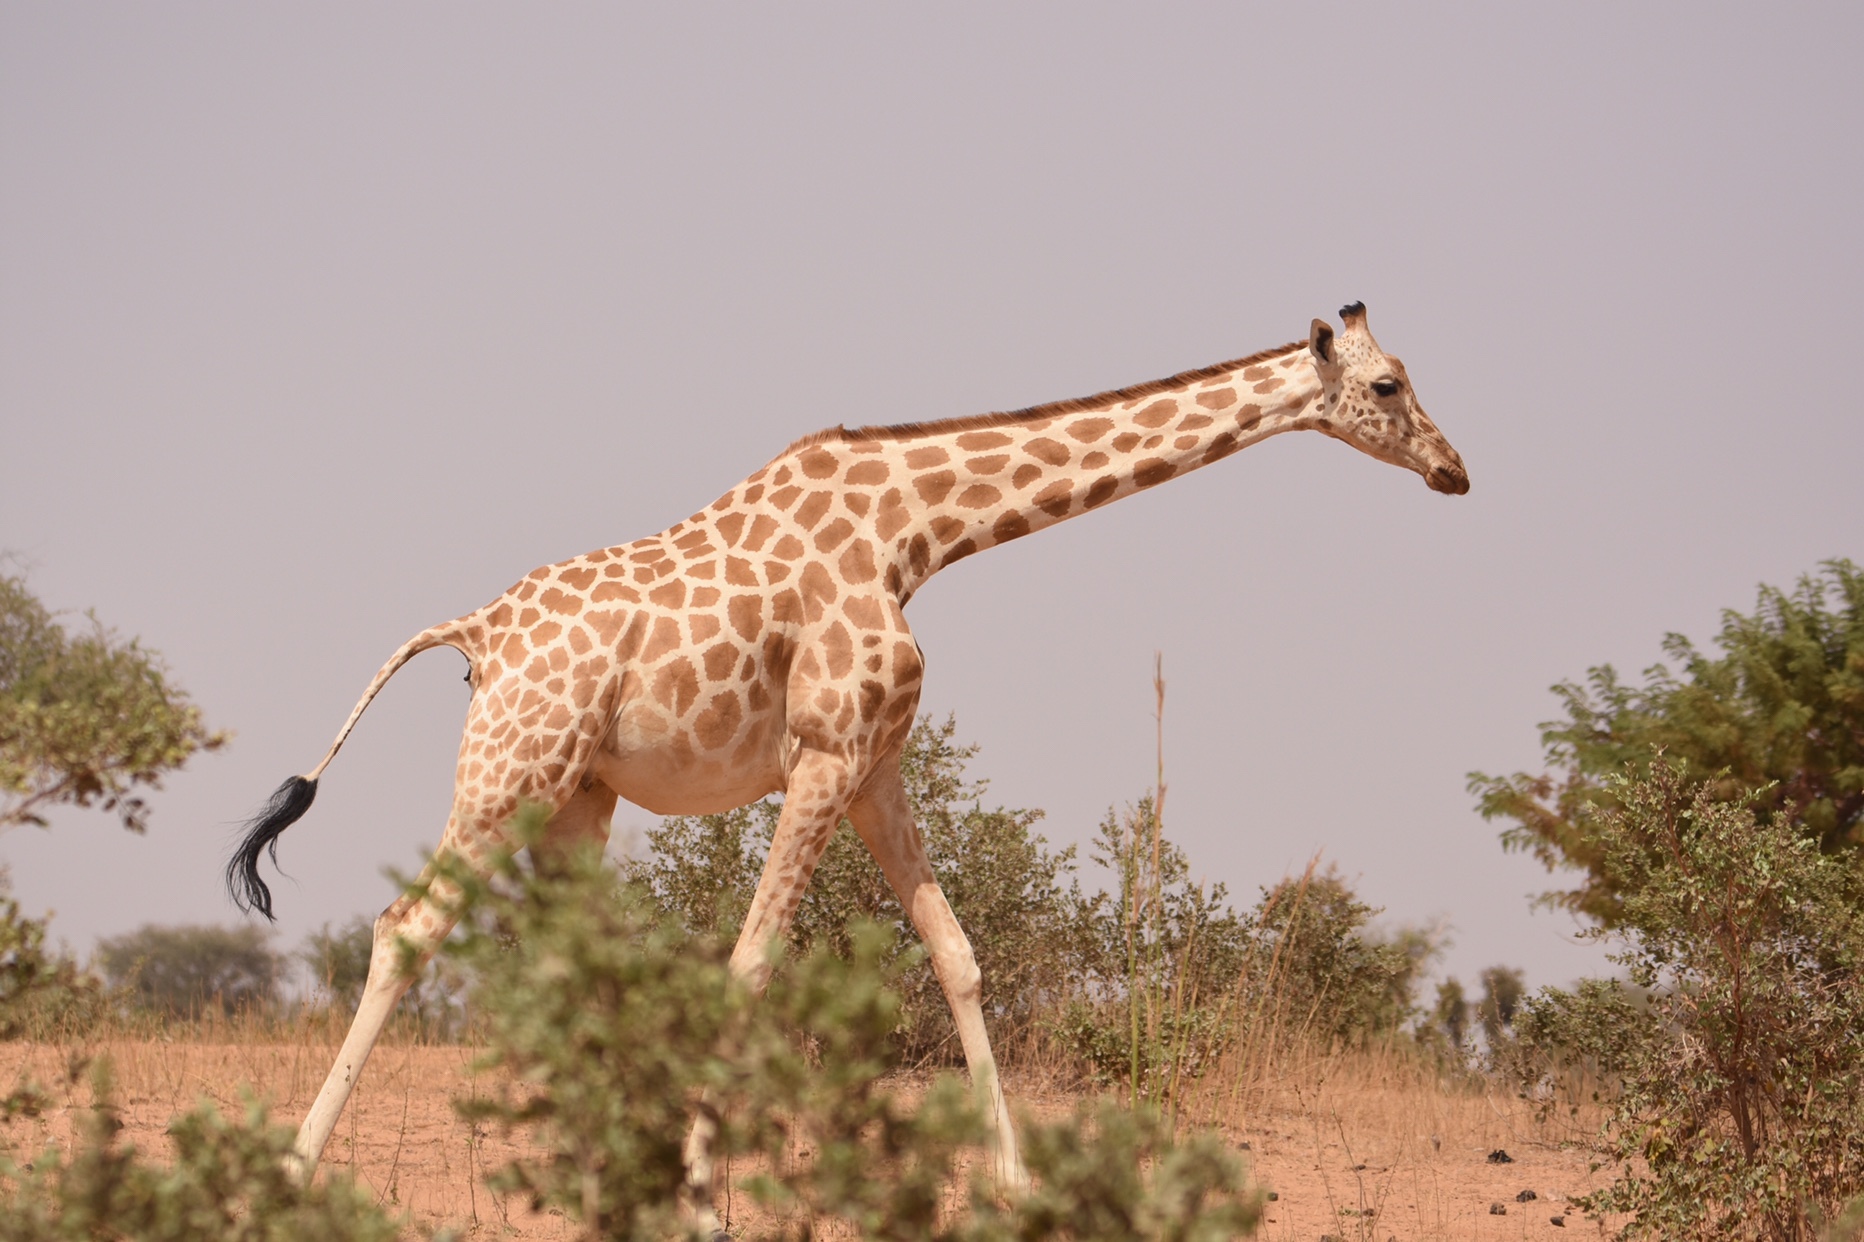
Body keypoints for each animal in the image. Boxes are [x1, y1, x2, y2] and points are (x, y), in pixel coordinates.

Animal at [229, 301, 1468, 1195]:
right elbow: (748, 967)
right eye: (1386, 385)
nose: (1455, 470)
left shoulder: (876, 764)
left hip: (575, 798)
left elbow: (958, 954)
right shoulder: (824, 754)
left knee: (565, 964)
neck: (914, 532)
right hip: (508, 771)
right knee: (407, 927)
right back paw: (293, 1169)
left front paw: (1017, 1182)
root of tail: (476, 633)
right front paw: (701, 1196)